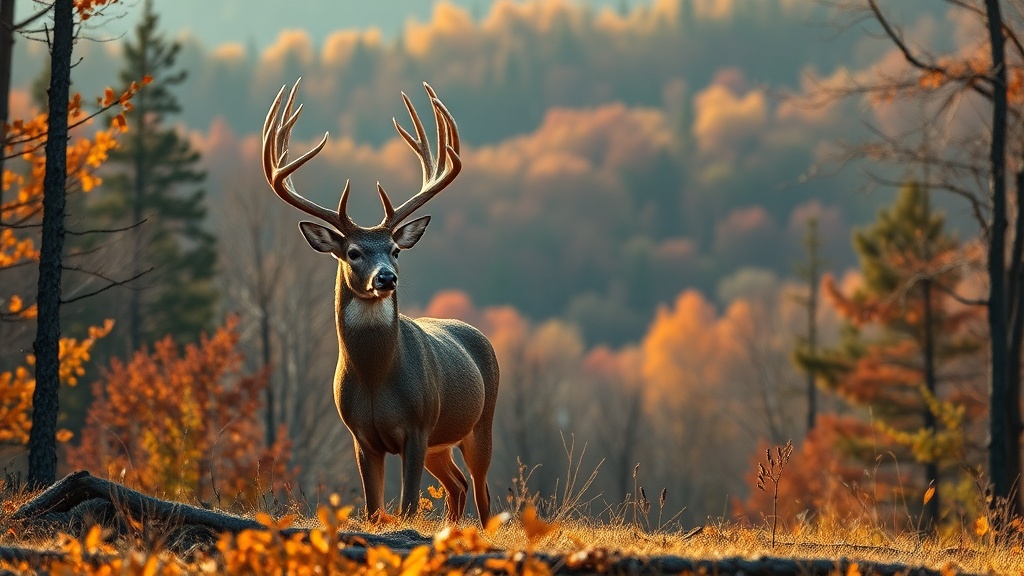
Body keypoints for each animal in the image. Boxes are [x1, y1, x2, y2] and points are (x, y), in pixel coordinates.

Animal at [261, 79, 499, 525]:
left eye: (395, 249)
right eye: (353, 252)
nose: (386, 278)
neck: (375, 378)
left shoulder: (418, 426)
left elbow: (406, 506)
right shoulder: (361, 436)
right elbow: (374, 510)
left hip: (480, 423)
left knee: (482, 493)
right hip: (441, 446)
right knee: (457, 485)